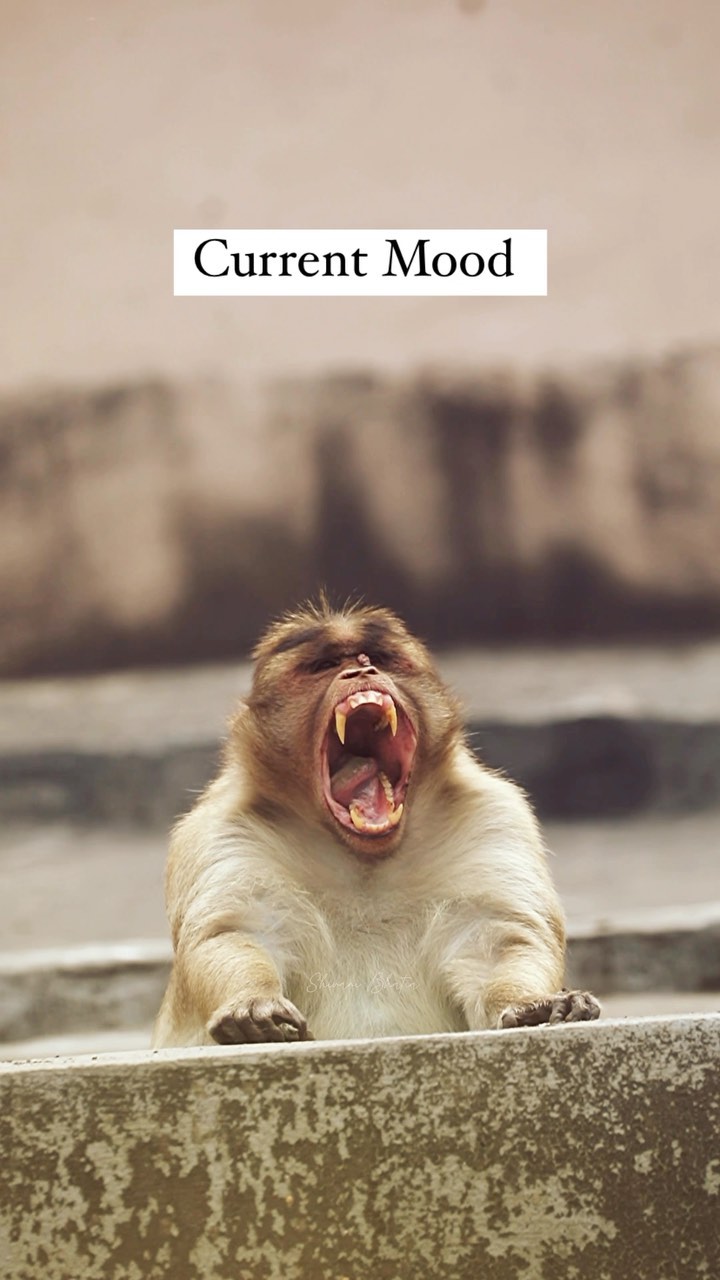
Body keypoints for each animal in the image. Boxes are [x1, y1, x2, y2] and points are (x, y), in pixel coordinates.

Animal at [153, 598, 600, 1048]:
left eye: (378, 659)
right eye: (326, 665)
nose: (361, 672)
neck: (364, 858)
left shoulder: (494, 819)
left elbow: (496, 941)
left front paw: (529, 1005)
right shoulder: (223, 833)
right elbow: (236, 932)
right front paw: (253, 1005)